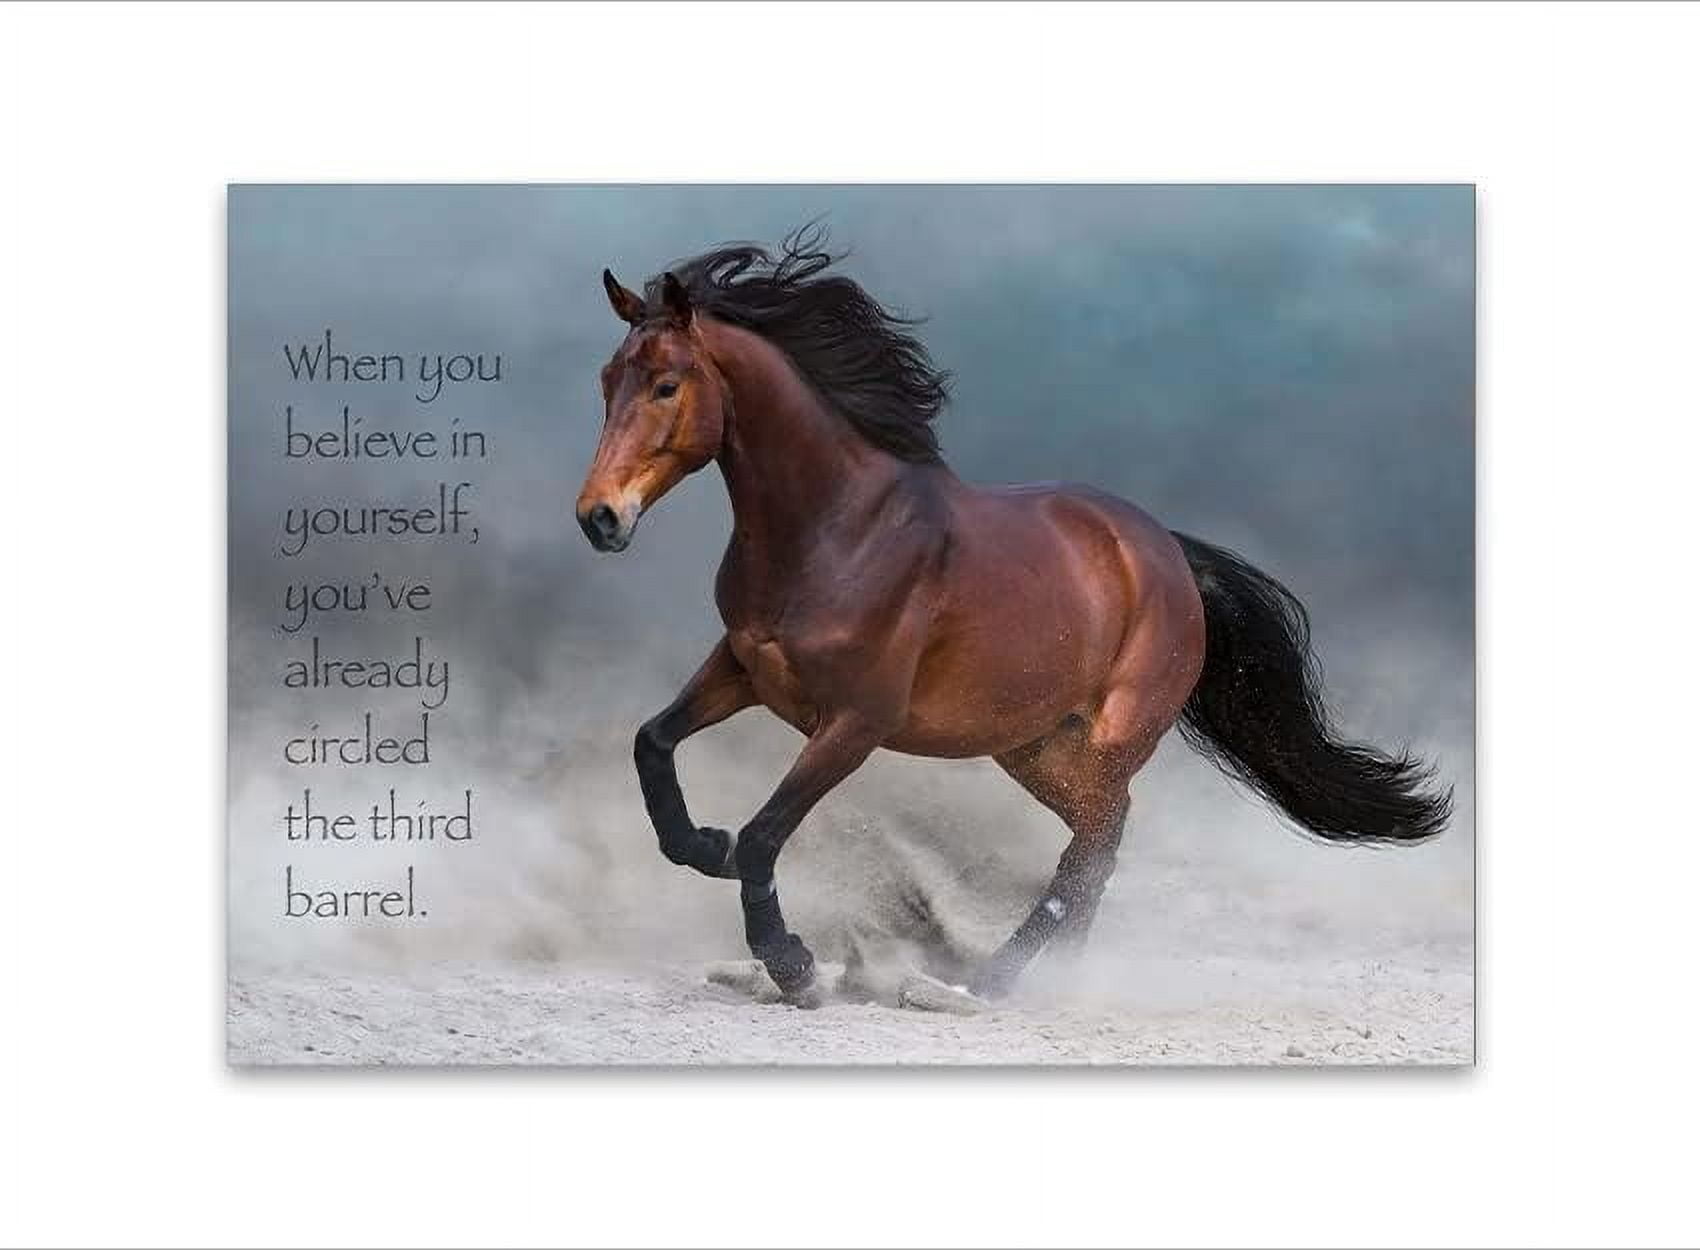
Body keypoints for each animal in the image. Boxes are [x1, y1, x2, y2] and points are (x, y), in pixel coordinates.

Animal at [575, 229, 1451, 1003]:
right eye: (607, 380)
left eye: (666, 384)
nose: (599, 519)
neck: (837, 528)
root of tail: (1168, 553)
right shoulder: (744, 668)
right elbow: (653, 743)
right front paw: (702, 844)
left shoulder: (854, 721)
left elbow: (764, 835)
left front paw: (791, 964)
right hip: (1035, 746)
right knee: (1099, 843)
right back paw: (1041, 978)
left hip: (1109, 740)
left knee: (1094, 845)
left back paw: (992, 983)